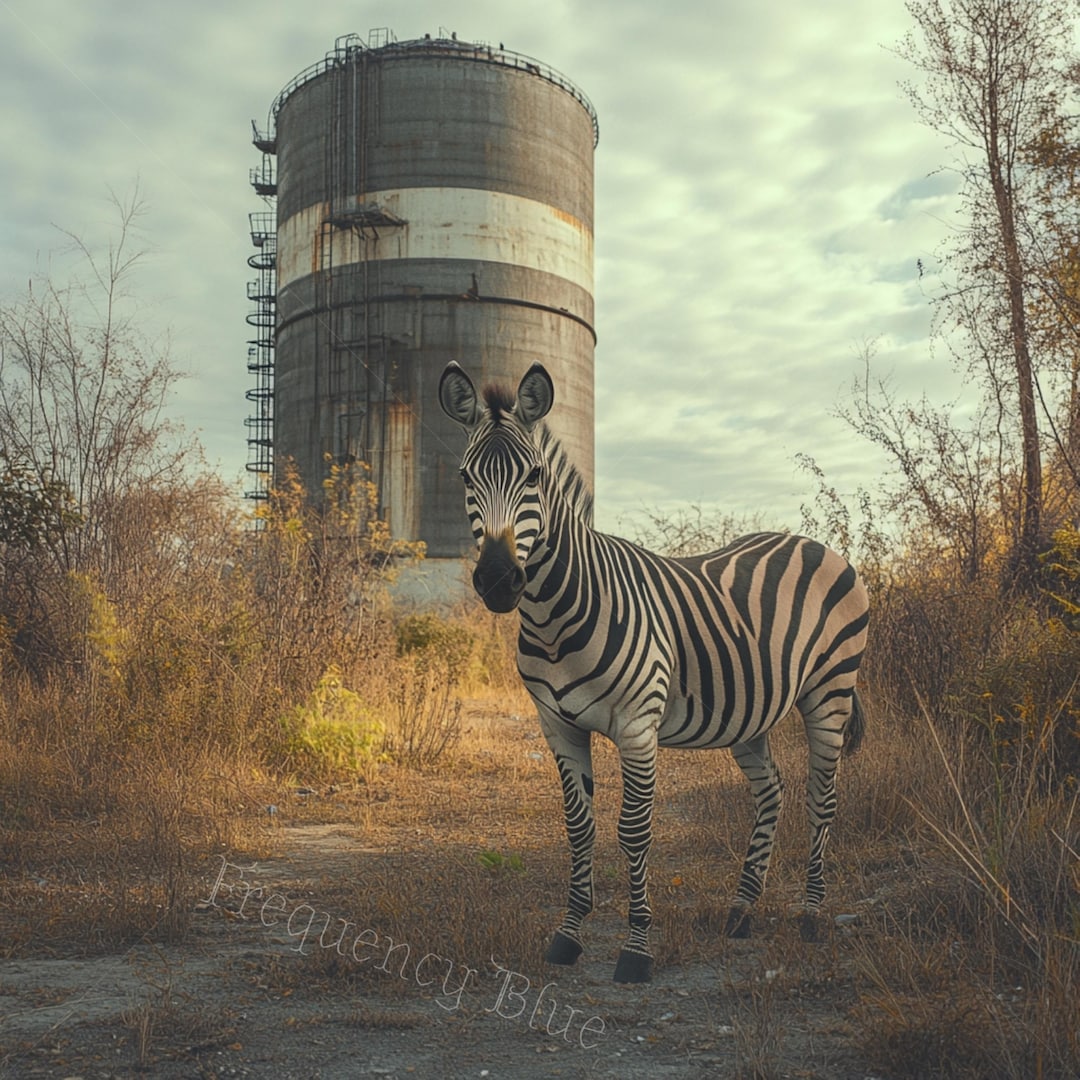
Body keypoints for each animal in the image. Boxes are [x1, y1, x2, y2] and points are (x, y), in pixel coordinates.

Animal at [438, 361, 869, 984]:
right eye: (466, 476)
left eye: (535, 476)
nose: (498, 581)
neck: (555, 614)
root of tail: (815, 544)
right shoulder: (557, 726)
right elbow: (580, 828)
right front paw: (567, 937)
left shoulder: (638, 726)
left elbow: (633, 831)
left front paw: (636, 949)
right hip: (751, 708)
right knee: (772, 791)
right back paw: (742, 911)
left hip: (830, 689)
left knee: (821, 797)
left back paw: (810, 916)